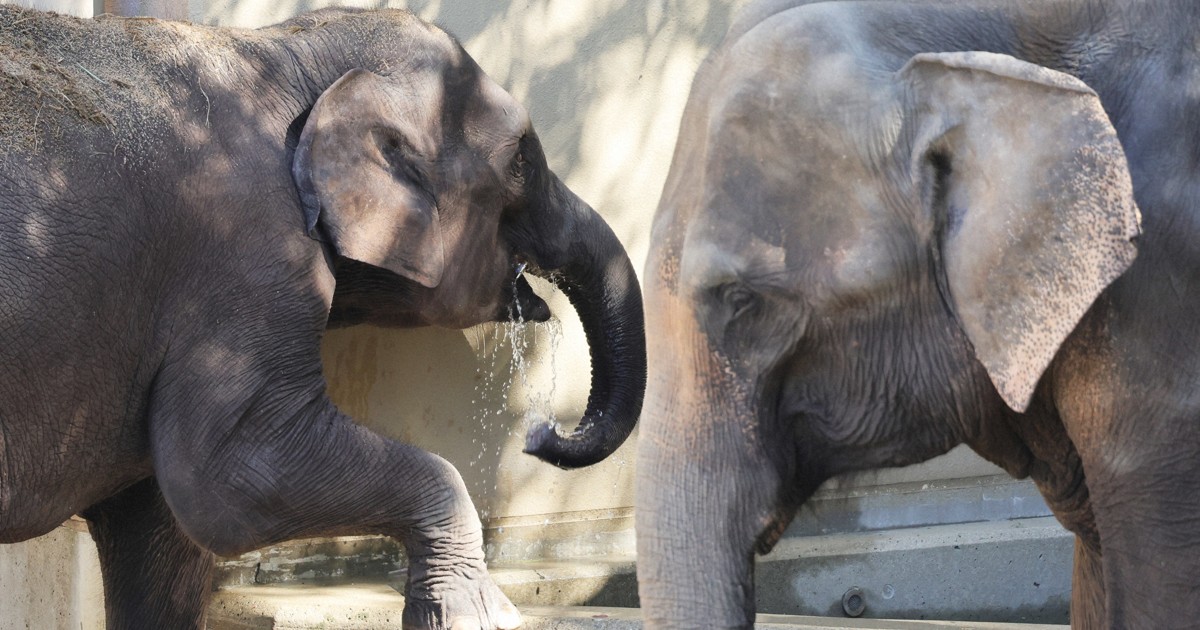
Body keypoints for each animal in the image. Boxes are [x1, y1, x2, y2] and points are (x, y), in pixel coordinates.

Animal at [0, 6, 645, 629]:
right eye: (521, 161)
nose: (540, 434)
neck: (289, 53)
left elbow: (158, 526)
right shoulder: (249, 262)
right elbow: (229, 478)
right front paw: (482, 616)